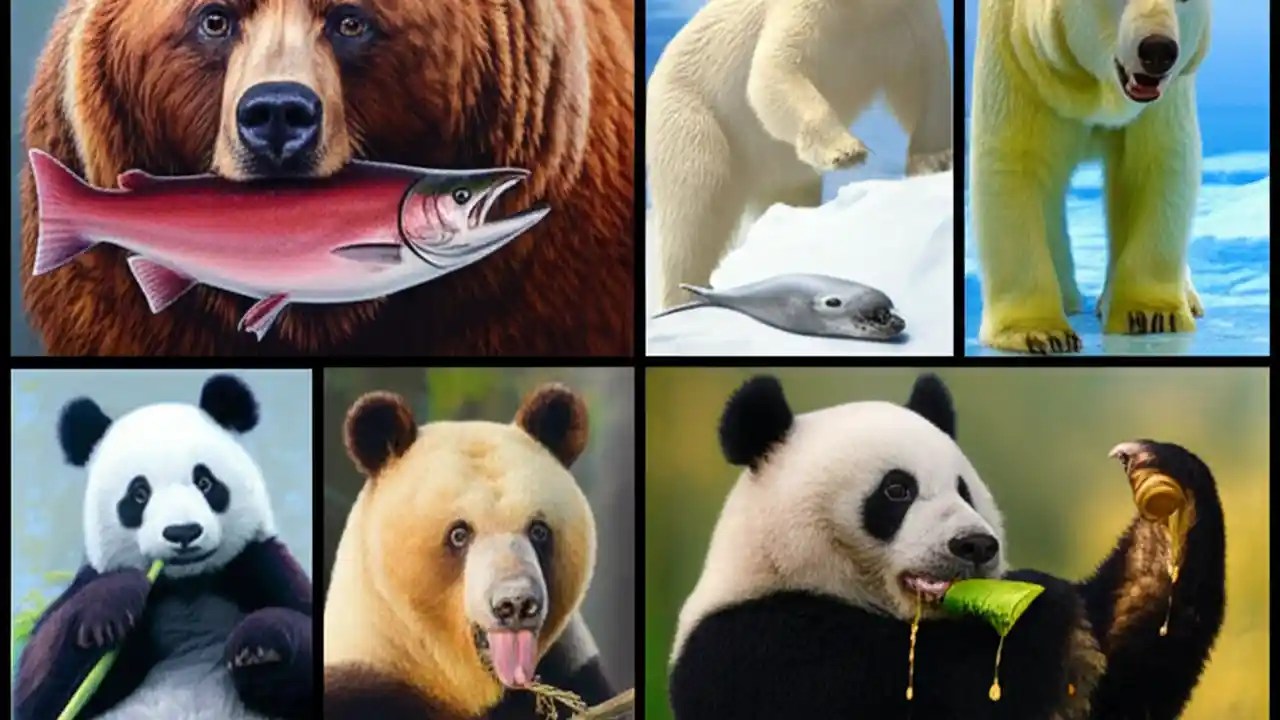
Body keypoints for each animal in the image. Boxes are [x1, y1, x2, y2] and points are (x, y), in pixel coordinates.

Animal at [13, 374, 314, 720]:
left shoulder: (260, 563)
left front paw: (260, 643)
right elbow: (39, 694)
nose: (183, 532)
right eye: (139, 494)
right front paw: (111, 604)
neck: (188, 588)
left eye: (205, 482)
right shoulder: (89, 582)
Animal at [646, 0, 953, 310]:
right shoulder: (808, 12)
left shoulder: (906, 15)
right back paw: (685, 297)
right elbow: (778, 69)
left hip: (778, 167)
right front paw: (847, 151)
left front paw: (936, 159)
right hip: (693, 116)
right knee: (698, 204)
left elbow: (925, 77)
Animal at [669, 374, 1226, 720]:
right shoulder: (758, 652)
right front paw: (1035, 609)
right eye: (897, 490)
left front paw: (1164, 483)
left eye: (964, 489)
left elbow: (1121, 680)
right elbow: (949, 687)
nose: (976, 545)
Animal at [970, 0, 1211, 354]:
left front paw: (1150, 316)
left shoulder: (1164, 93)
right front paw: (1040, 333)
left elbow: (1156, 161)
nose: (1158, 51)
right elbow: (1013, 165)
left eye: (1183, 2)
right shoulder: (1016, 54)